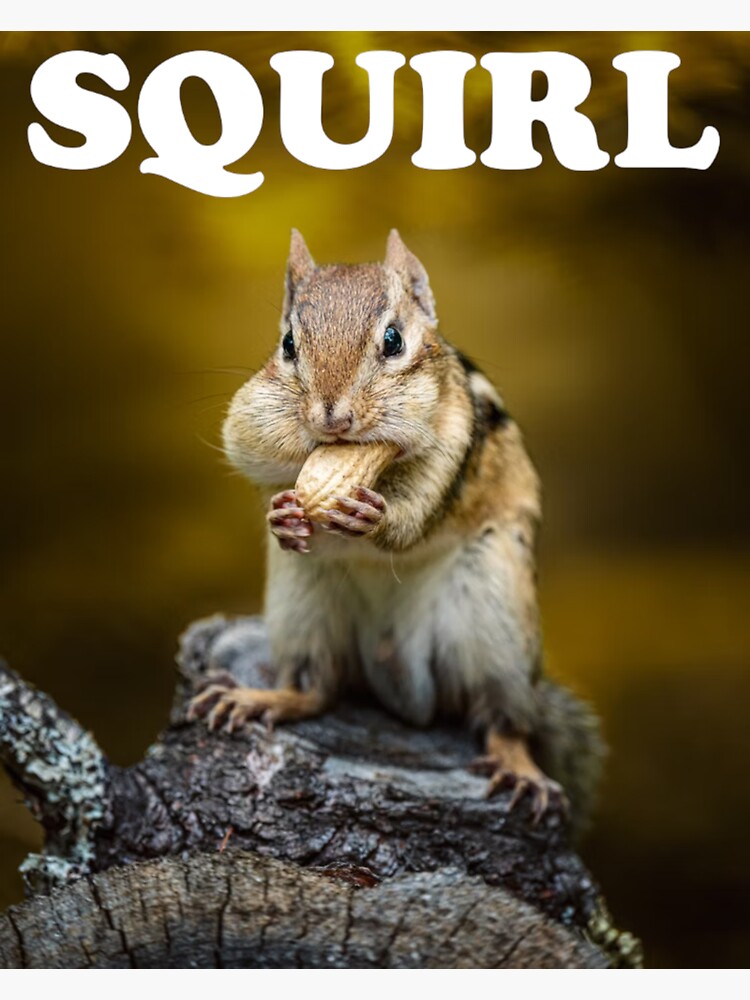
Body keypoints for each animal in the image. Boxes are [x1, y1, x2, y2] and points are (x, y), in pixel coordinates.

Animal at [188, 229, 605, 831]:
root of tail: (396, 671)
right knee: (318, 689)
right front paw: (282, 515)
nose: (333, 418)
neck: (369, 463)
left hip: (494, 617)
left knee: (501, 720)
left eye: (393, 340)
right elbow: (249, 455)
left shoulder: (454, 440)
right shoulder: (252, 419)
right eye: (288, 345)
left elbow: (414, 519)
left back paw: (520, 766)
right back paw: (260, 698)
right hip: (303, 605)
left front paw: (376, 518)